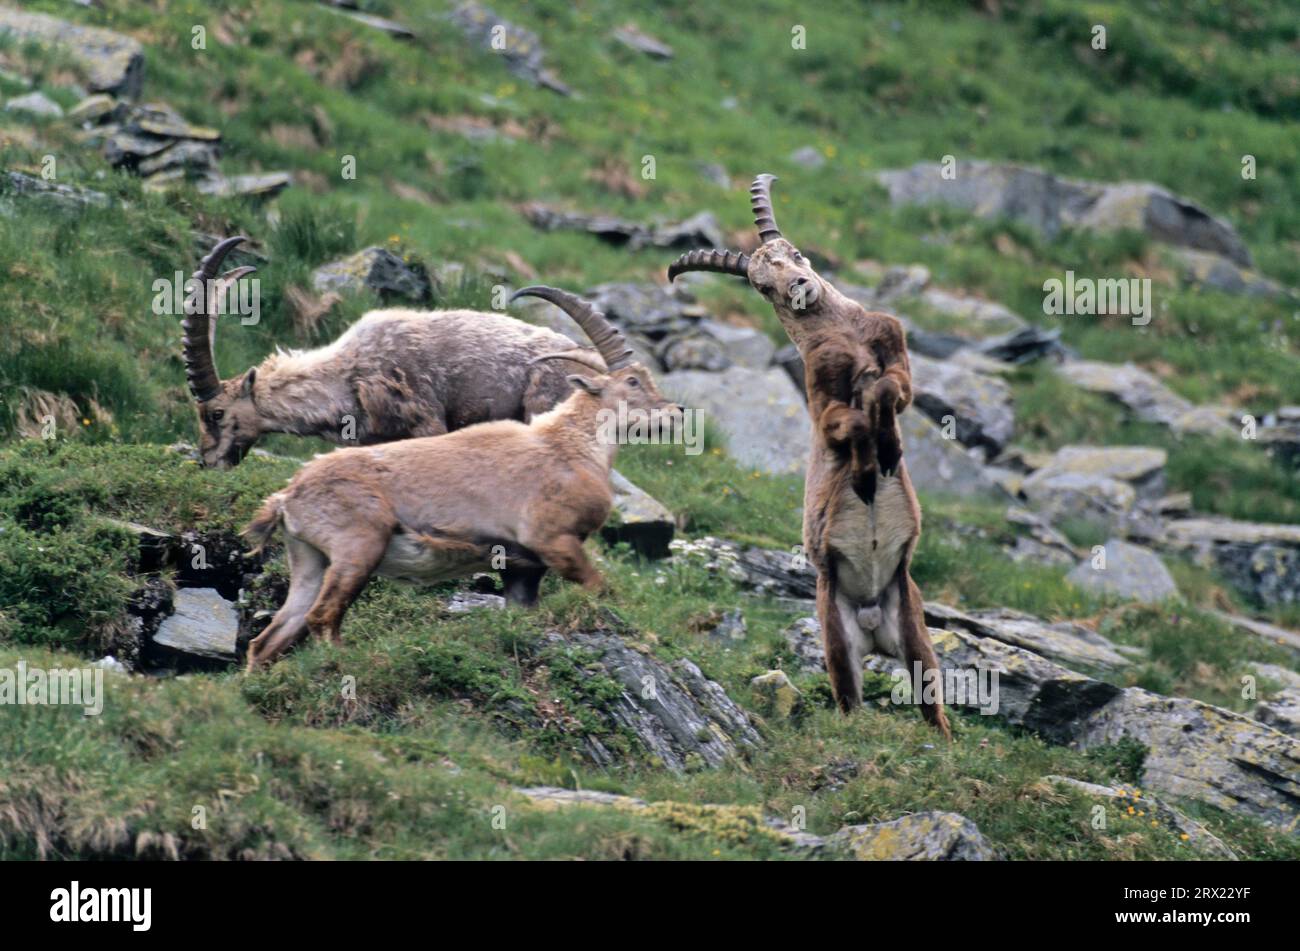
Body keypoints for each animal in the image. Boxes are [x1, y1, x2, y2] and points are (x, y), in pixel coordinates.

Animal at [242, 287, 681, 670]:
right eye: (632, 381)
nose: (675, 412)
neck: (570, 446)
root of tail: (286, 498)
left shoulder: (524, 568)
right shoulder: (554, 541)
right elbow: (601, 588)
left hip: (310, 560)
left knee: (268, 640)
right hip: (358, 548)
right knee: (321, 618)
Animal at [668, 175, 951, 738]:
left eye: (794, 253)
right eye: (761, 283)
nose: (800, 285)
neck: (845, 335)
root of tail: (872, 621)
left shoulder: (895, 356)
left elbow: (889, 390)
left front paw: (890, 451)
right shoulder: (823, 402)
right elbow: (856, 420)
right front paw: (865, 473)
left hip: (916, 635)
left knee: (934, 707)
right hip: (835, 635)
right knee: (849, 702)